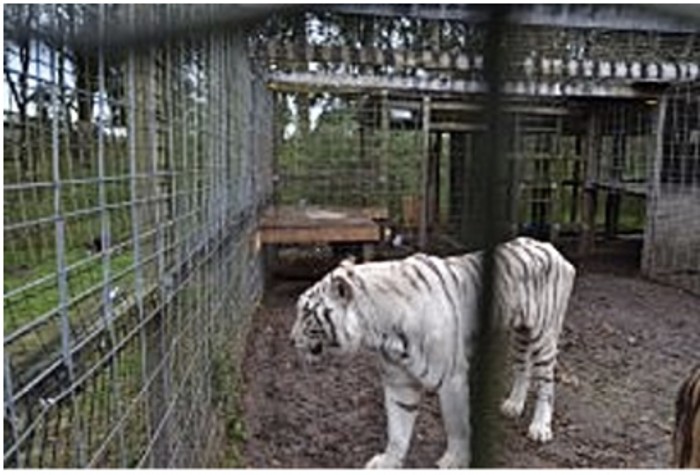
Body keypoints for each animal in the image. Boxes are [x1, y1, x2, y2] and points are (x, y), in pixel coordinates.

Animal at [290, 236, 576, 468]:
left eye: (306, 312)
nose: (291, 341)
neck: (381, 334)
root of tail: (551, 248)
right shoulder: (398, 383)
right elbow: (397, 430)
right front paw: (389, 461)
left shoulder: (452, 379)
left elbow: (456, 426)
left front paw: (455, 461)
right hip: (520, 335)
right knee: (521, 367)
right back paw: (513, 405)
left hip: (543, 336)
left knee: (547, 383)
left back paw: (540, 428)